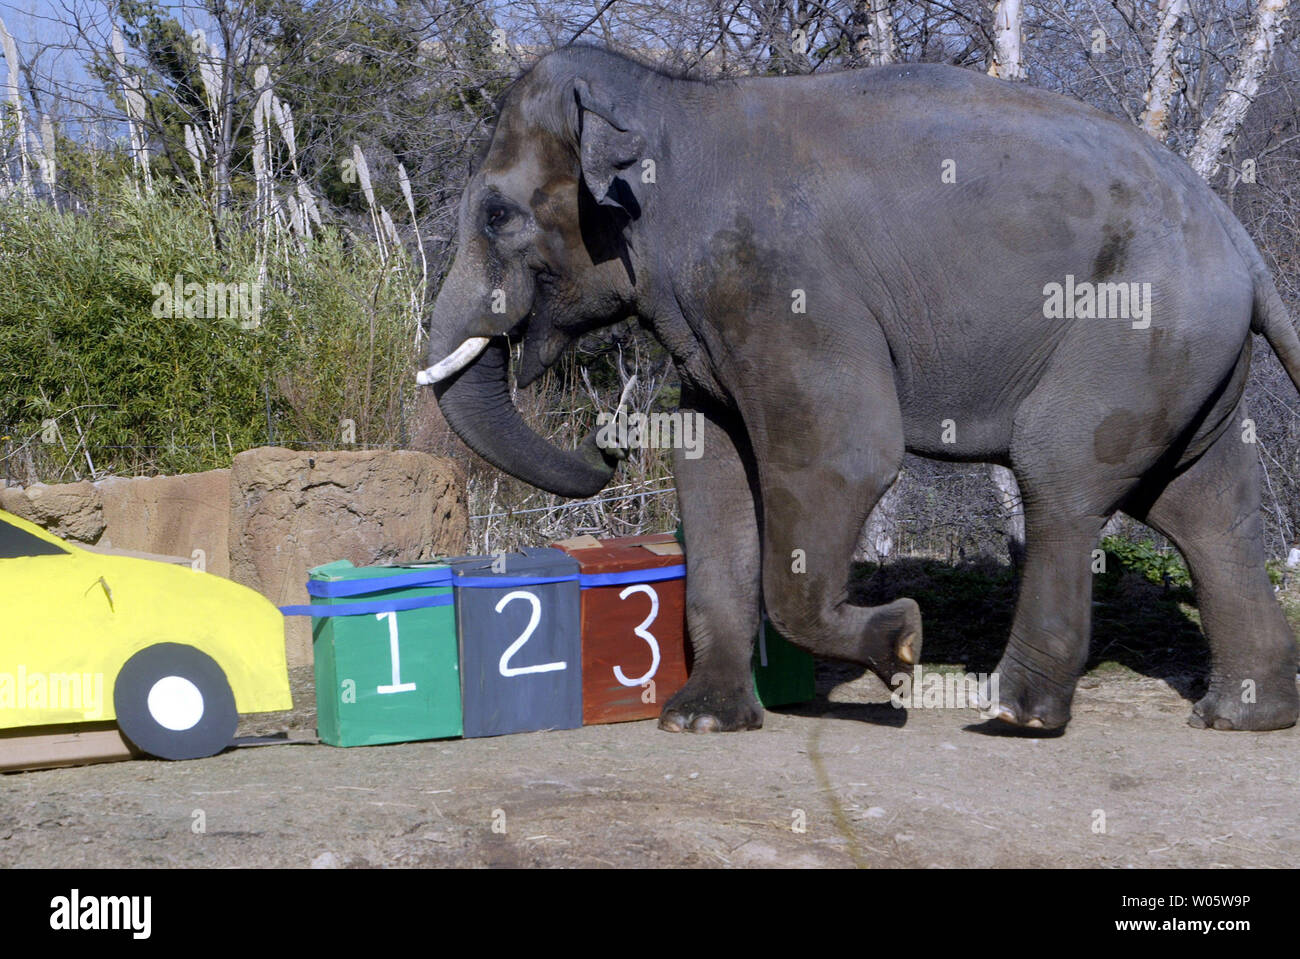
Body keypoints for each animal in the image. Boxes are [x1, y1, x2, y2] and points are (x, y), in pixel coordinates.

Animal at [418, 45, 1300, 733]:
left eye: (496, 215)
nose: (610, 441)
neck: (672, 104)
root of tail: (1241, 242)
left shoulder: (782, 284)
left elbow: (842, 456)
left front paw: (902, 645)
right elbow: (712, 467)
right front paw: (700, 720)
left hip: (1136, 323)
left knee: (1060, 469)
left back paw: (1014, 714)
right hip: (1189, 352)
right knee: (1203, 507)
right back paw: (1241, 715)